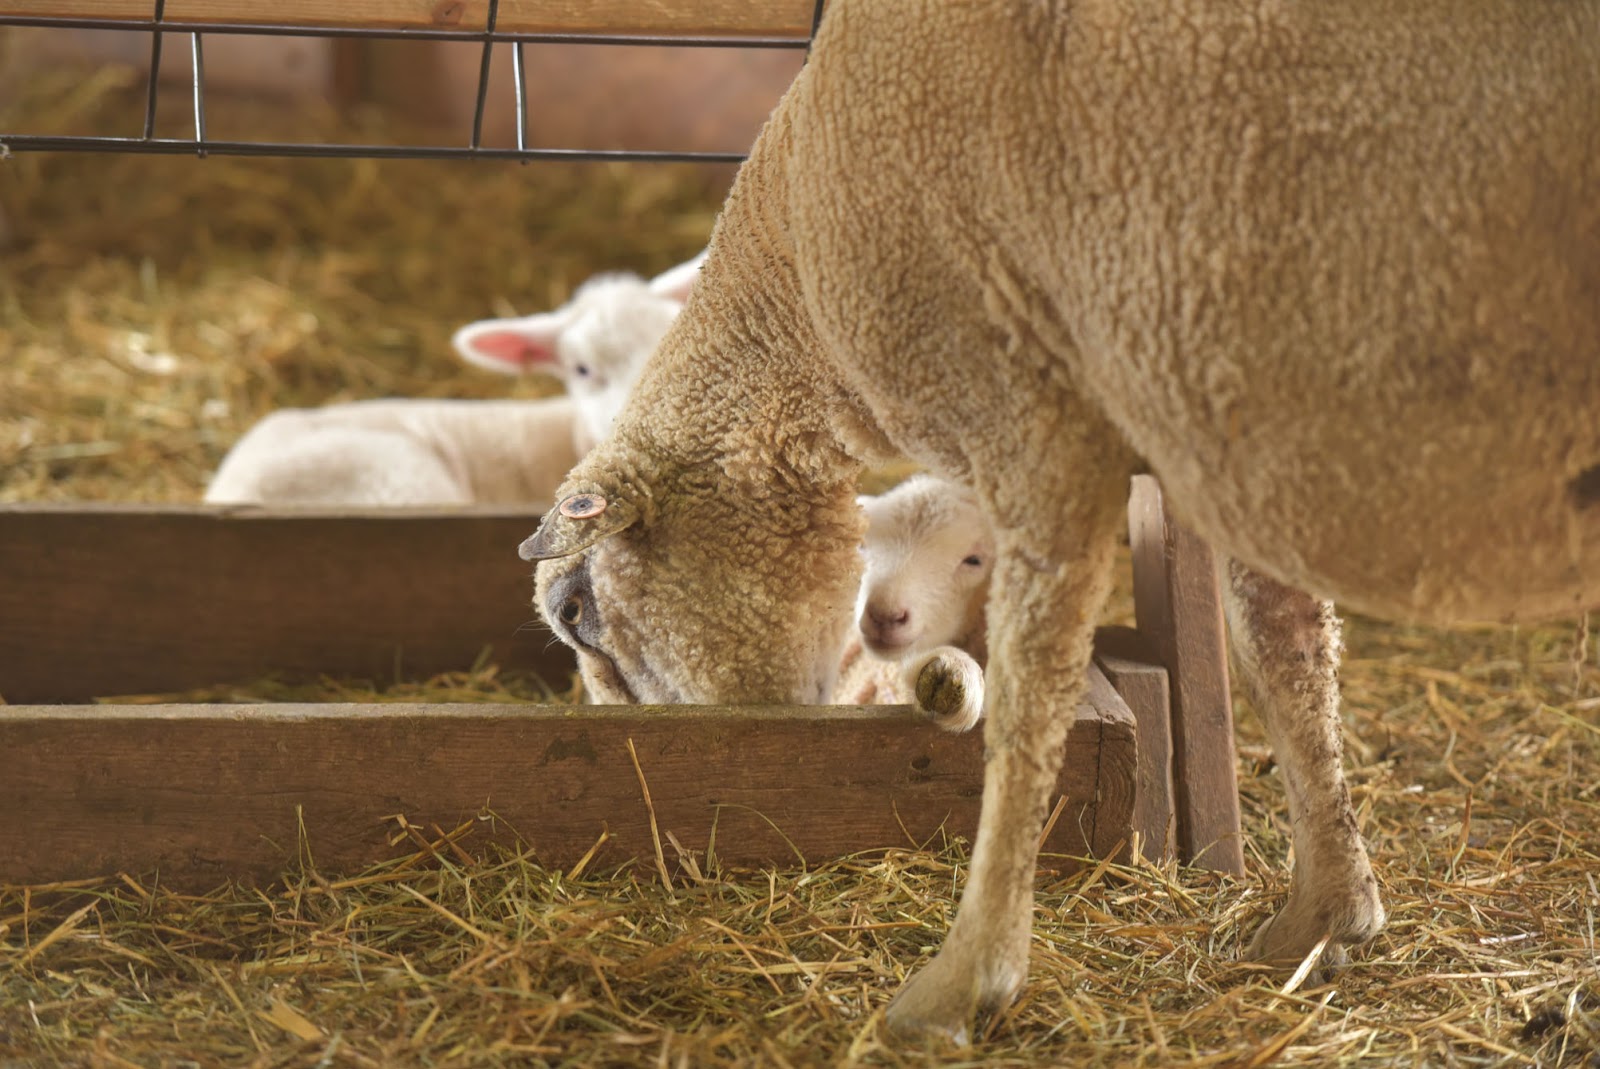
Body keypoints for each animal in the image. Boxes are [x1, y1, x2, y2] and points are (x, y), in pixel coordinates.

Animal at [517, 0, 1600, 1045]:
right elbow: (1284, 656)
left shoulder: (1030, 418)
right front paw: (1323, 917)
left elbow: (1029, 697)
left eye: (574, 612)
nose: (641, 758)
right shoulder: (1218, 436)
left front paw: (966, 978)